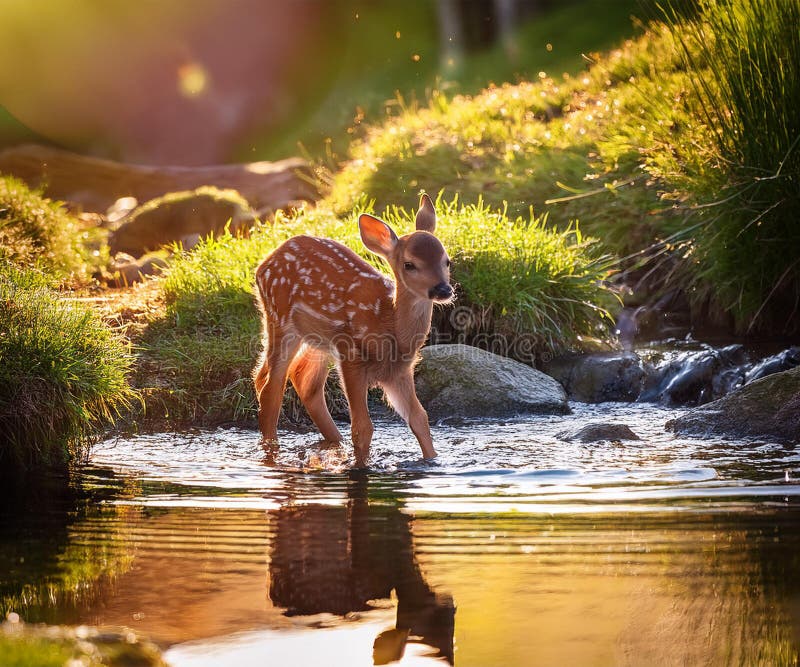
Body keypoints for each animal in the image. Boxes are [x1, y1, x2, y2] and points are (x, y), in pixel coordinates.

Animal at [253, 193, 453, 467]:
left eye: (447, 260)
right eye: (409, 264)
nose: (443, 289)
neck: (386, 324)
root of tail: (263, 264)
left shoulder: (399, 371)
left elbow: (419, 418)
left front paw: (432, 461)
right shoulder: (351, 356)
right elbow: (362, 427)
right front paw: (360, 467)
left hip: (318, 341)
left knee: (301, 381)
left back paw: (333, 445)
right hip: (280, 319)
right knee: (270, 389)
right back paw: (272, 456)